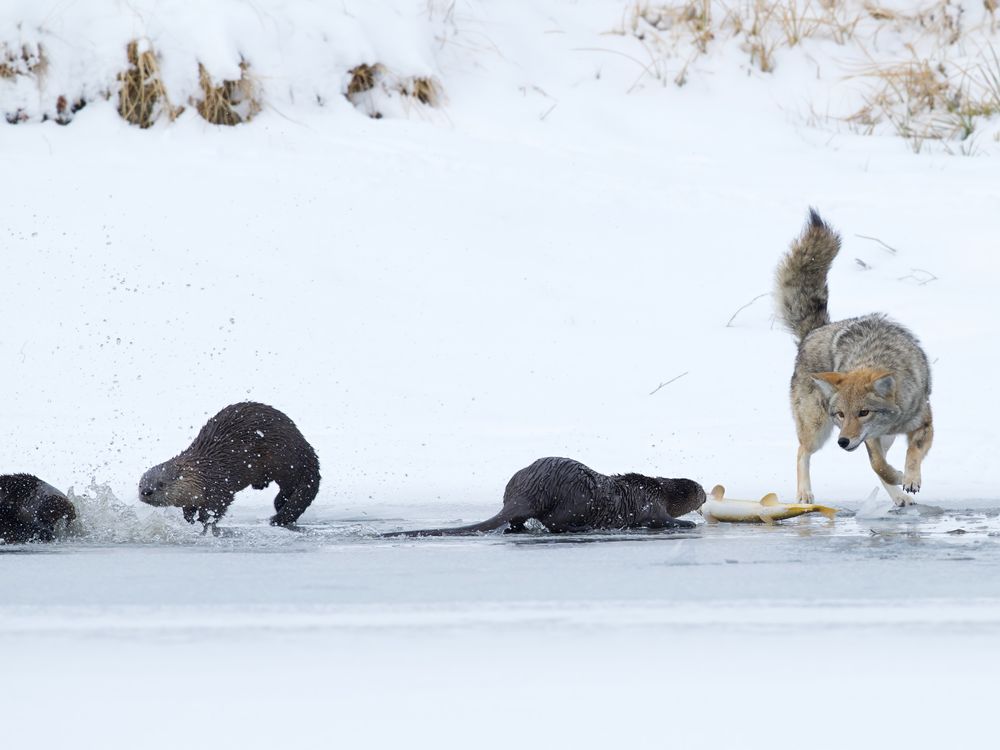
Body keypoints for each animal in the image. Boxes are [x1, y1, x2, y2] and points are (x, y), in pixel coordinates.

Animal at [139, 402, 320, 530]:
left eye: (161, 484)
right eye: (140, 484)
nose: (146, 492)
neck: (203, 472)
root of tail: (305, 447)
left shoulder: (219, 487)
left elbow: (217, 508)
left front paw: (204, 520)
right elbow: (189, 509)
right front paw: (189, 519)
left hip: (284, 460)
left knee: (290, 486)